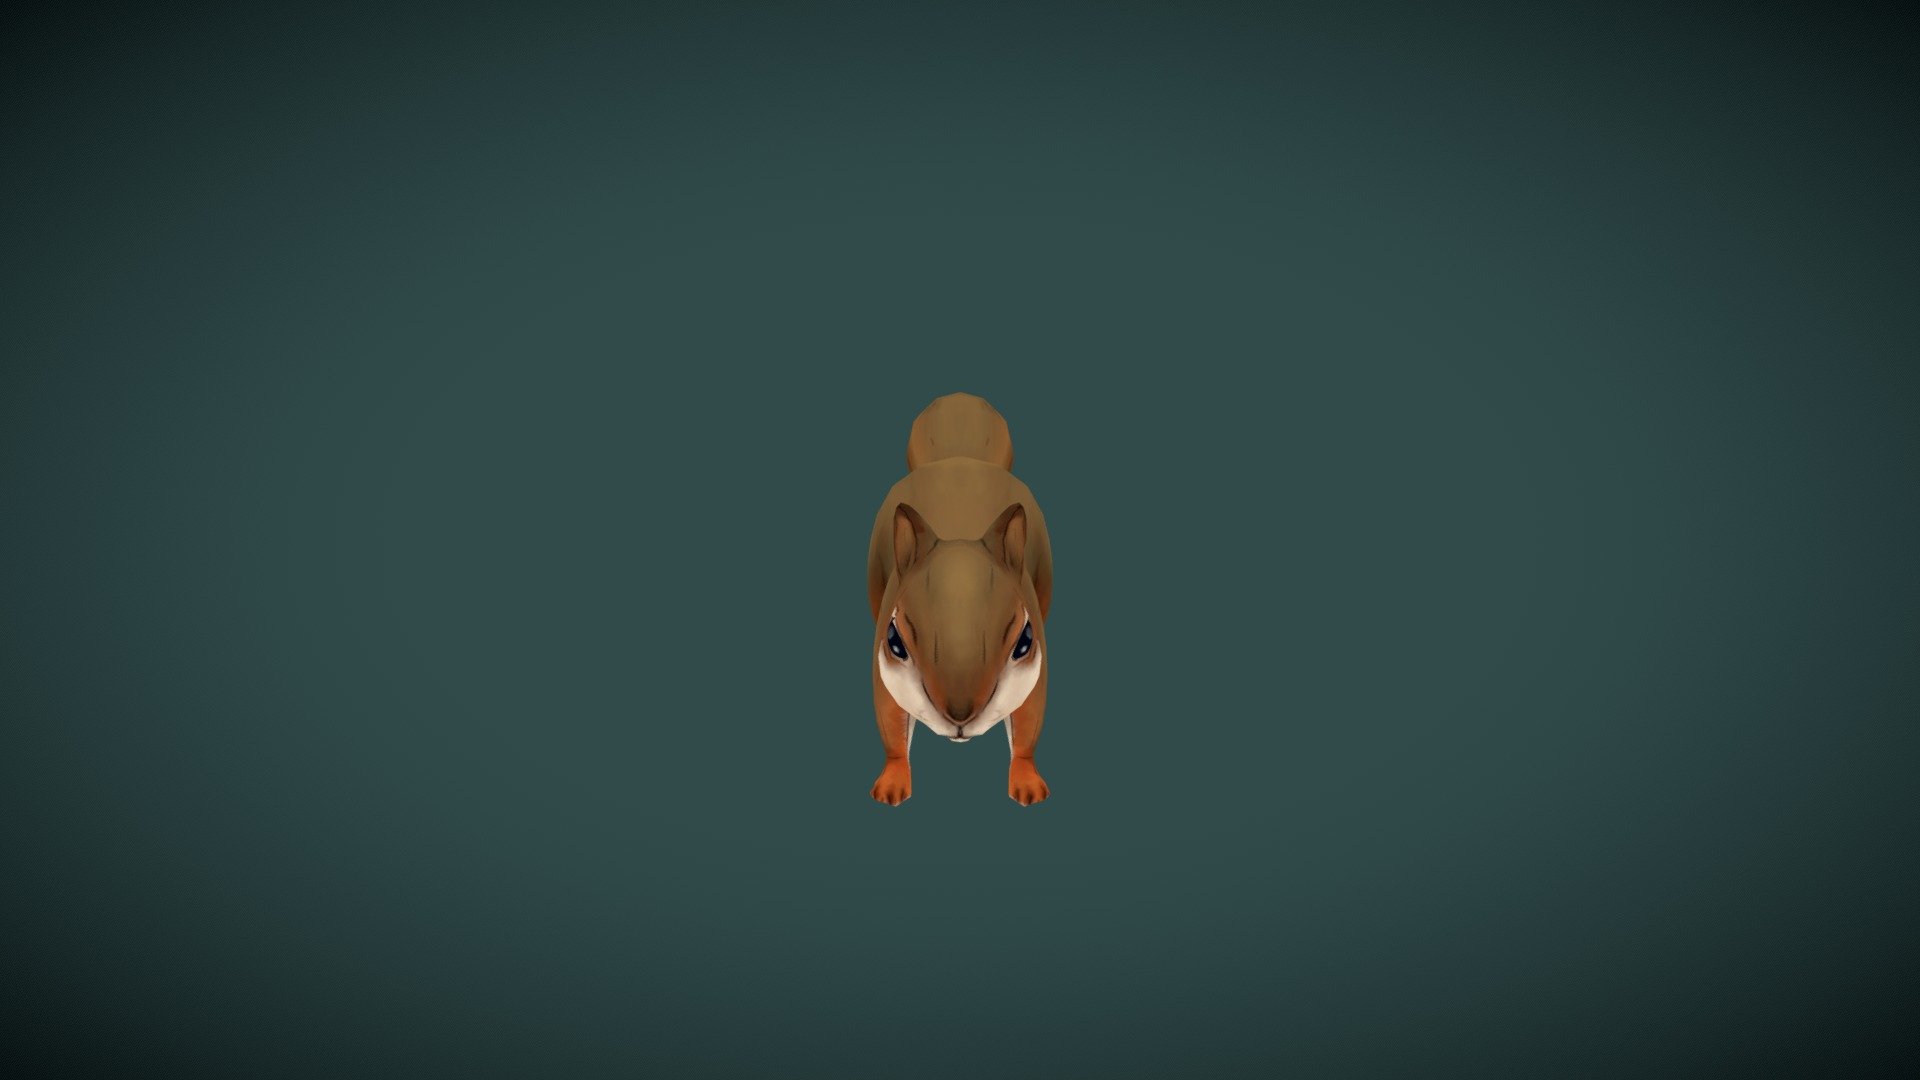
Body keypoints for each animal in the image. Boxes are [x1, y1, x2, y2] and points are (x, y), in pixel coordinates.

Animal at [865, 393, 1054, 806]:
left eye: (1025, 642)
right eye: (894, 642)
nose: (960, 719)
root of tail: (959, 457)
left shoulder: (1035, 678)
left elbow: (1027, 730)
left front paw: (1028, 784)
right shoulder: (883, 678)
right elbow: (892, 731)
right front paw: (891, 785)